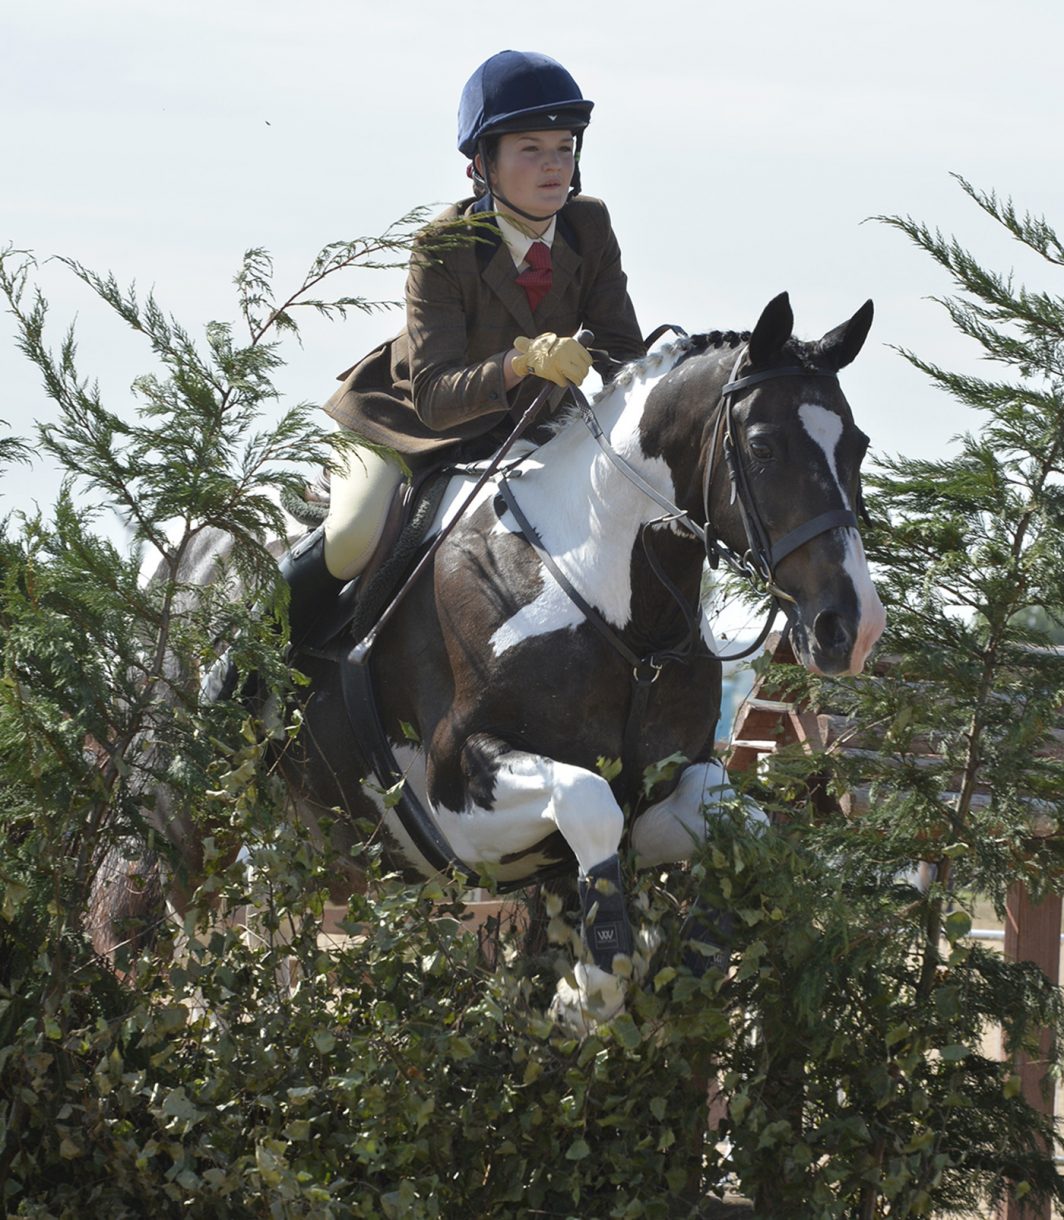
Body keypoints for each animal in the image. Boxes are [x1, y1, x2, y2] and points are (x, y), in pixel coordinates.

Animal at [92, 290, 885, 1024]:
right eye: (764, 447)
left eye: (858, 446)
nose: (851, 628)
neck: (618, 611)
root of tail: (181, 552)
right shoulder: (457, 793)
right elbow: (587, 801)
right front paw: (585, 992)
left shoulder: (659, 795)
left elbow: (740, 824)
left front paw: (687, 956)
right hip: (188, 819)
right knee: (188, 936)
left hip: (307, 837)